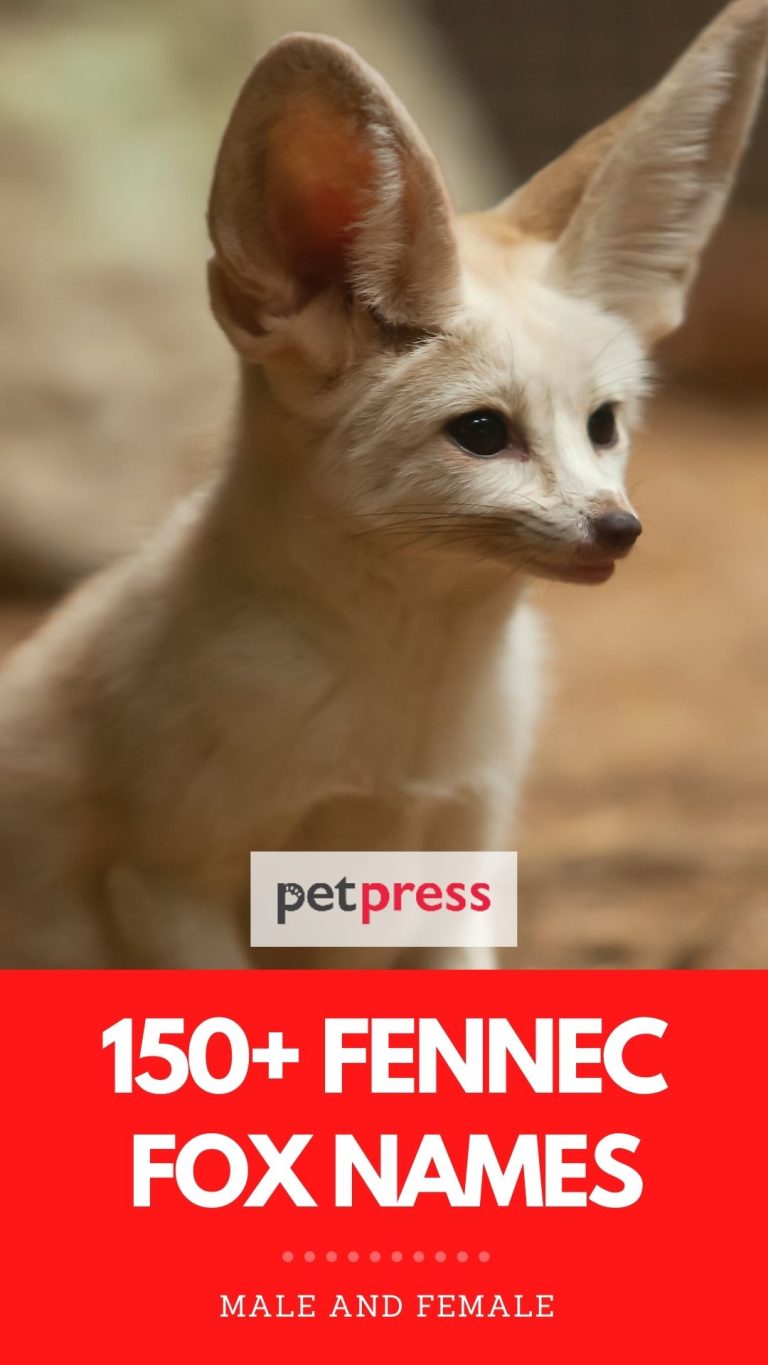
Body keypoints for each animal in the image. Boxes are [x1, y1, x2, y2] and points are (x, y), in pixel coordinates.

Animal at [0, 1, 765, 968]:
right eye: (481, 433)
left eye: (604, 424)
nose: (618, 527)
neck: (405, 725)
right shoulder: (166, 882)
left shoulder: (462, 871)